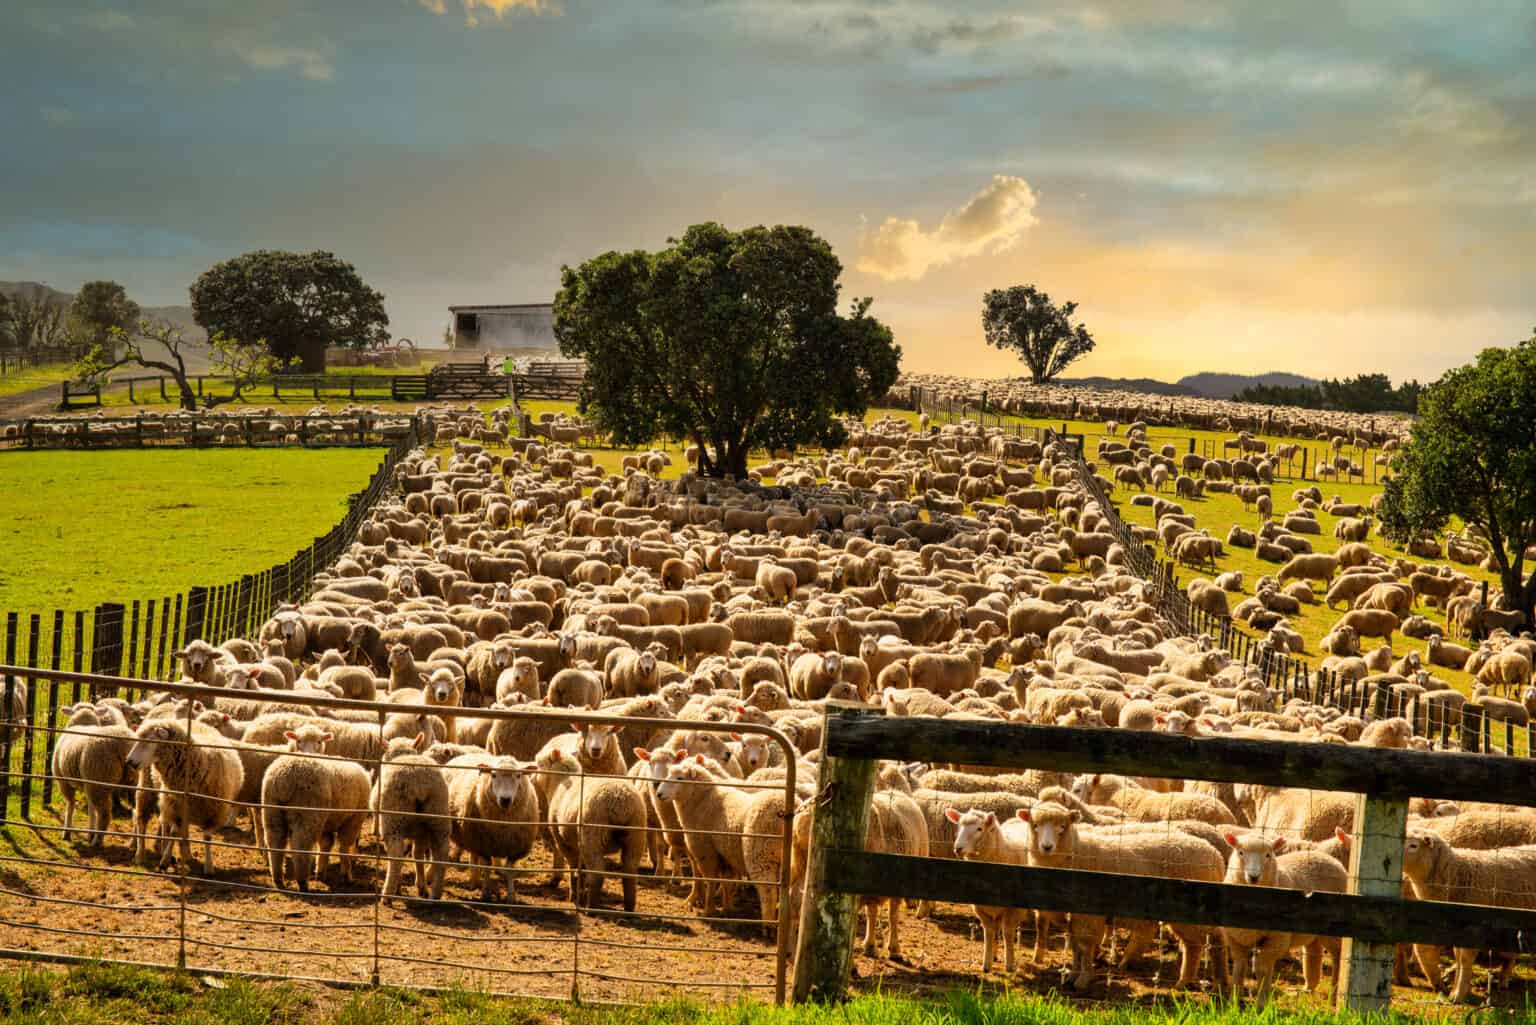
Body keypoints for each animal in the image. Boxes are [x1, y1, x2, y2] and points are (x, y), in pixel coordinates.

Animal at [260, 725, 371, 891]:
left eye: (319, 741)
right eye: (298, 740)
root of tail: (286, 777)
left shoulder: (327, 822)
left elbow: (326, 843)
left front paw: (321, 871)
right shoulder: (352, 819)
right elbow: (344, 847)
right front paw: (346, 875)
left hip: (272, 810)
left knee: (275, 841)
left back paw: (278, 879)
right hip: (307, 815)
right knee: (301, 845)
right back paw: (302, 882)